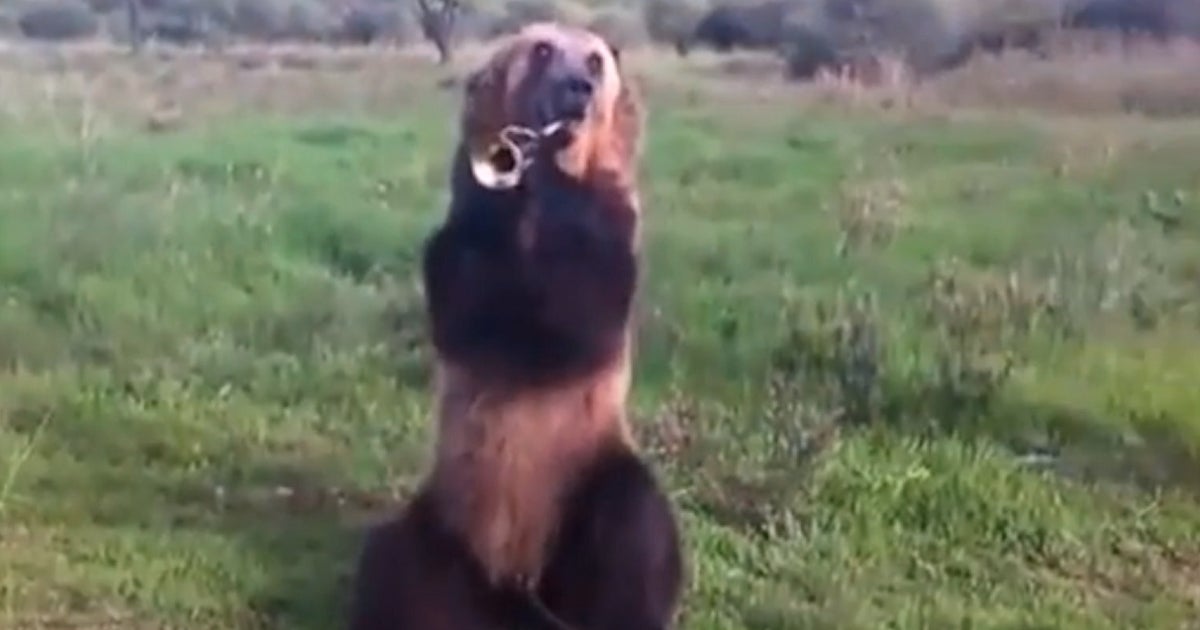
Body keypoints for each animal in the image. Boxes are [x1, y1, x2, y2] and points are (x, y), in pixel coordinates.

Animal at [345, 21, 685, 630]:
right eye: (542, 49)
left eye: (596, 60)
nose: (577, 88)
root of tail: (515, 576)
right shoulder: (467, 232)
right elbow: (471, 317)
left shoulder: (612, 238)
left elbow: (574, 329)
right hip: (446, 516)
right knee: (401, 565)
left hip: (583, 477)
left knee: (631, 523)